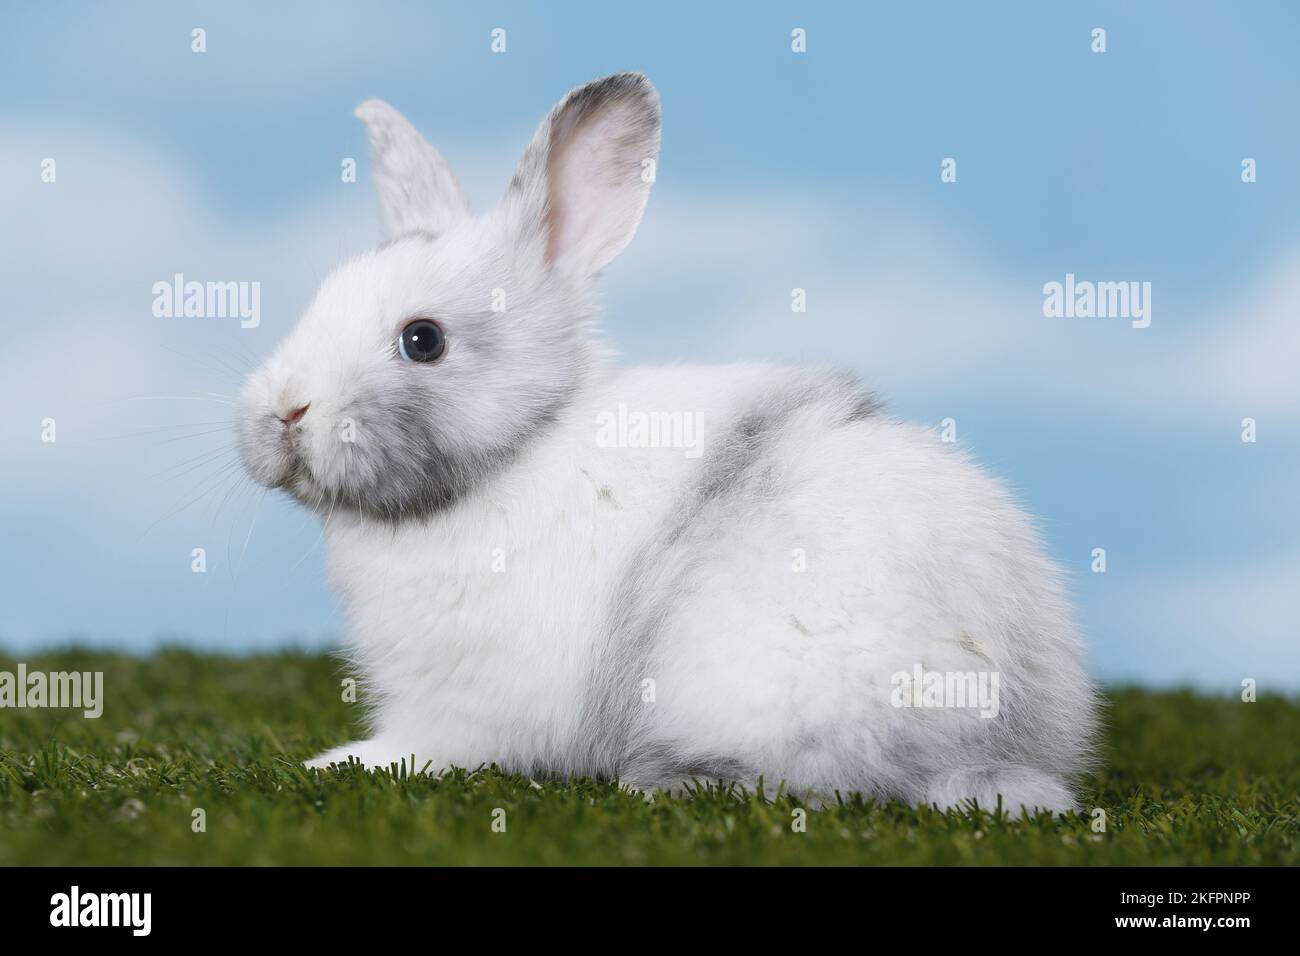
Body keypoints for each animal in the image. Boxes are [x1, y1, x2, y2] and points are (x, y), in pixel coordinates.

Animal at [238, 72, 1098, 813]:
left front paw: (336, 762)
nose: (284, 410)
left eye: (423, 340)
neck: (520, 448)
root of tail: (995, 748)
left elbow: (422, 748)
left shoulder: (459, 706)